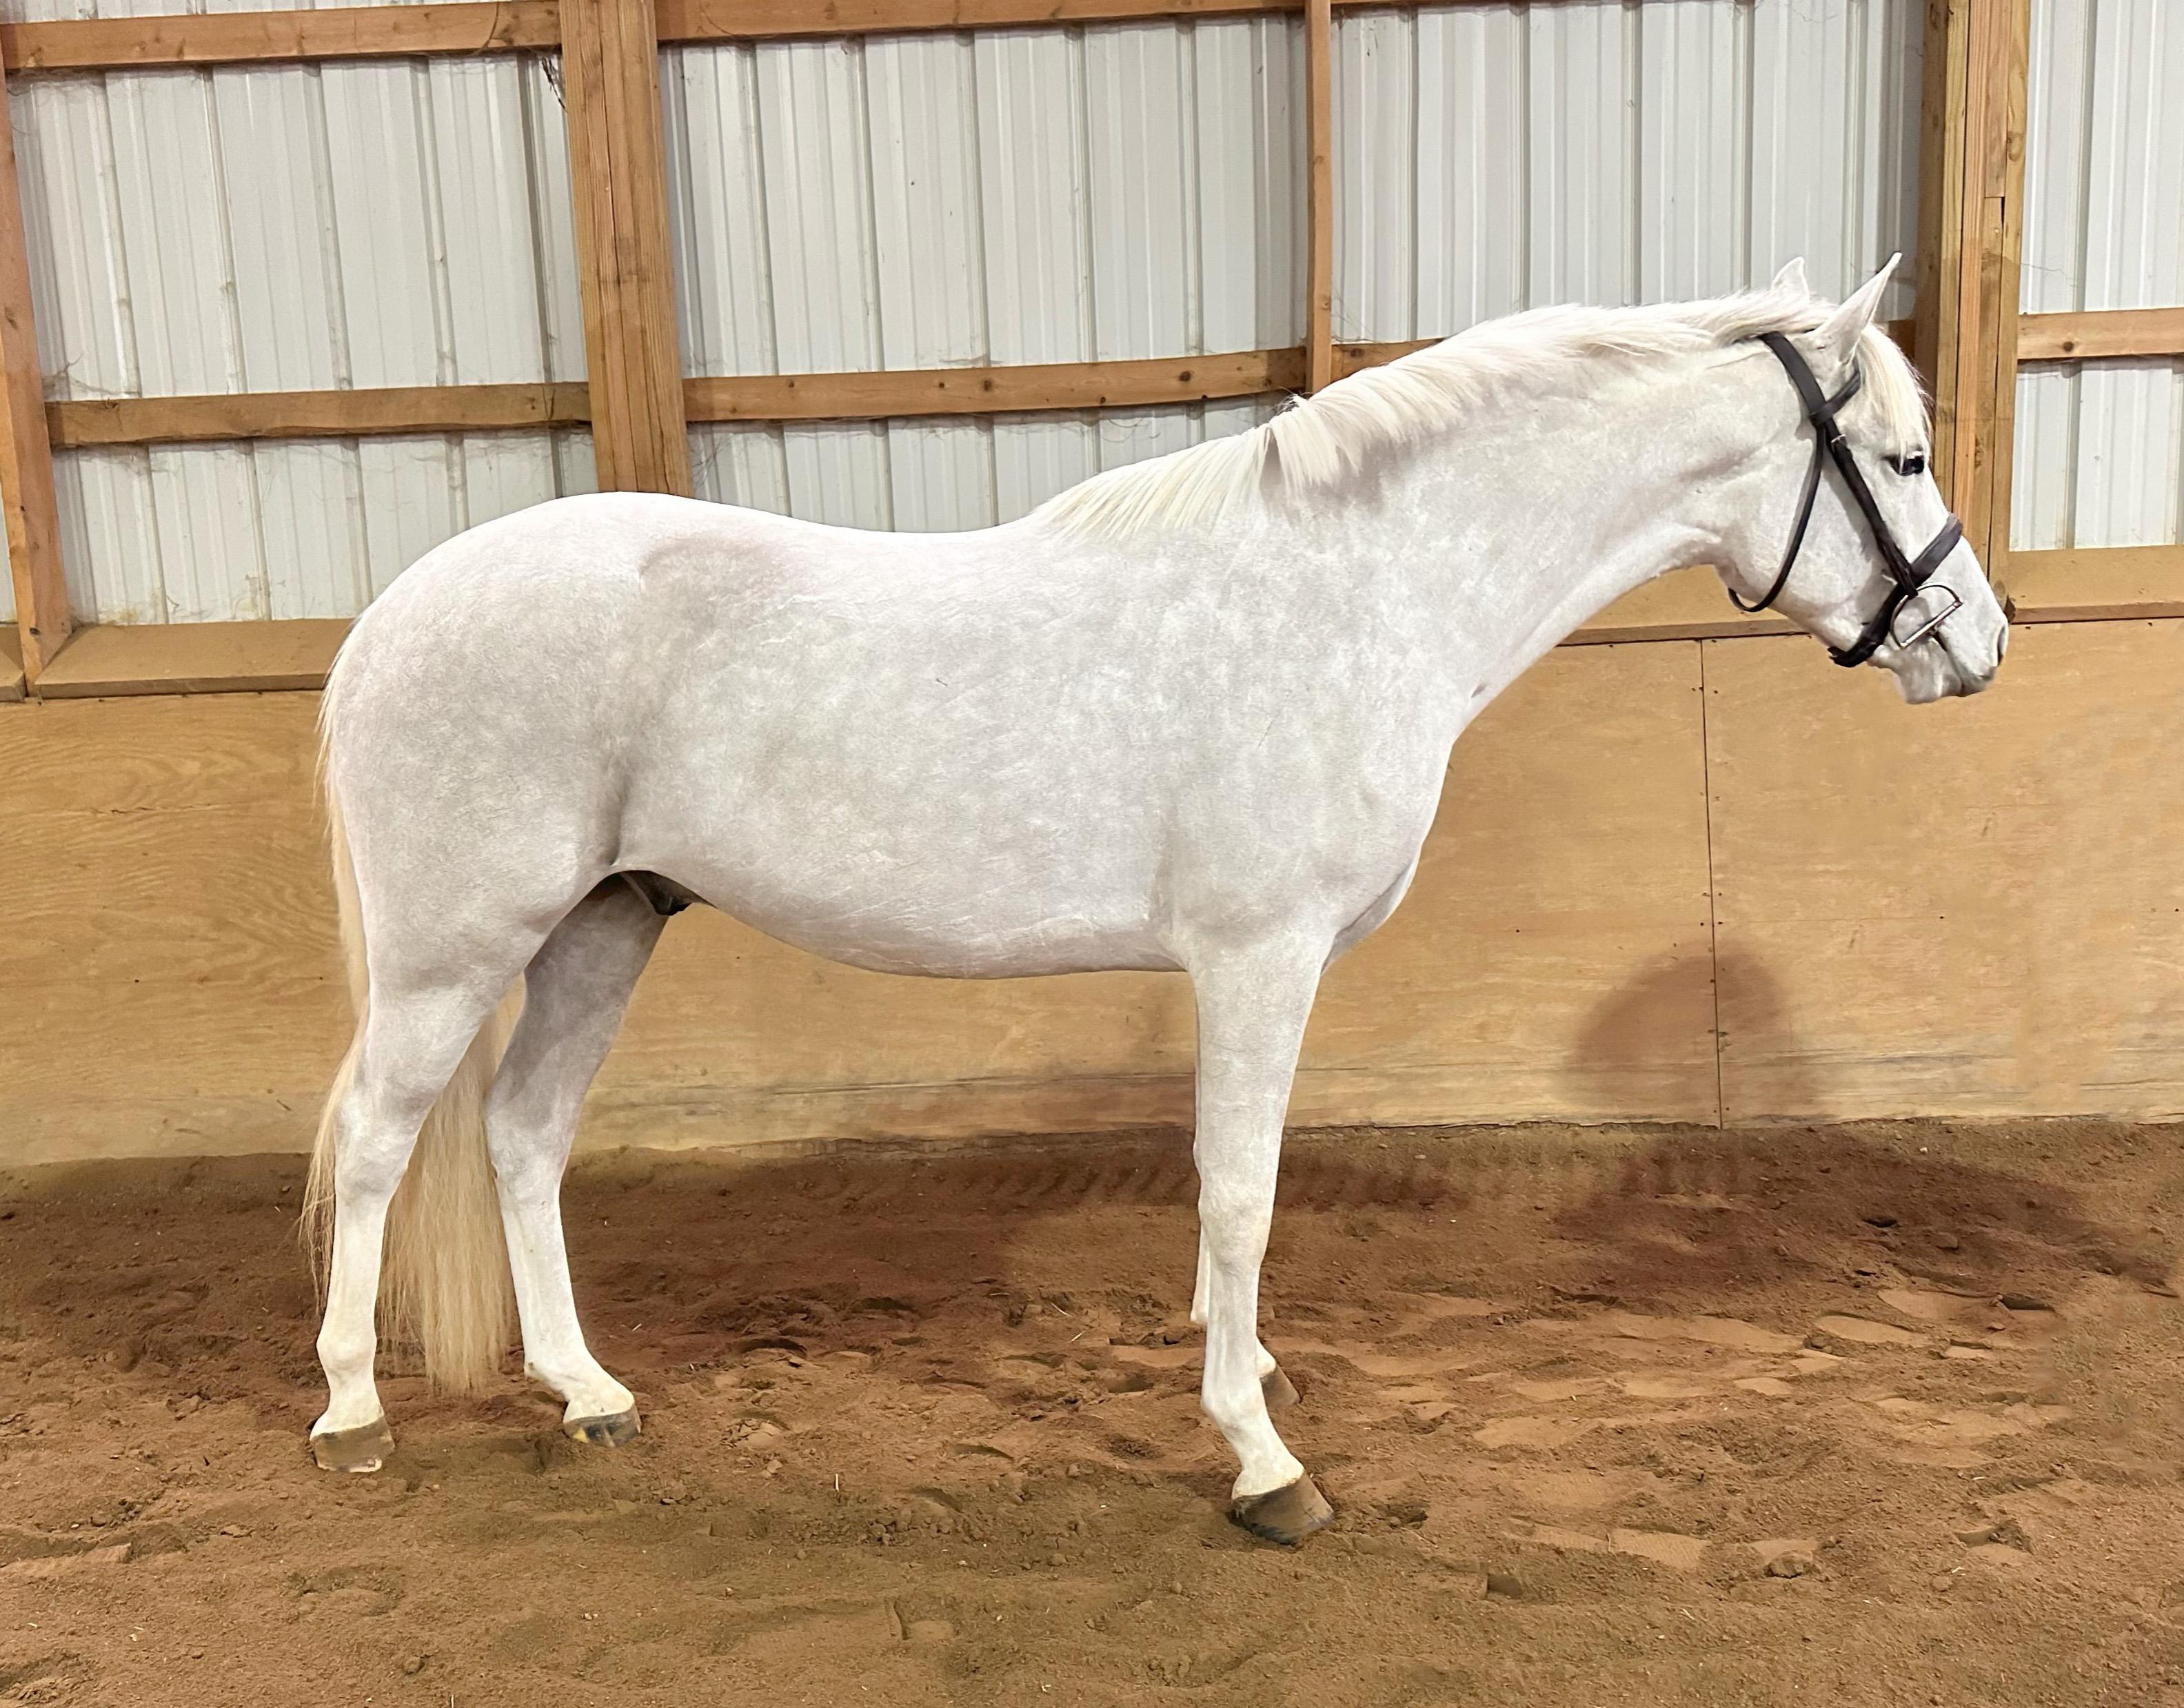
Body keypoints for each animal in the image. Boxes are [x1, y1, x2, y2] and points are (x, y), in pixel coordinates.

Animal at [302, 257, 2008, 1544]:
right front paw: (1262, 1462)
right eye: (1907, 459)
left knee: (523, 1134)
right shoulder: (1262, 957)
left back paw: (589, 1396)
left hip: (607, 923)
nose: (1978, 642)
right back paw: (352, 1412)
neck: (1355, 591)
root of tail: (391, 615)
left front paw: (1249, 1377)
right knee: (383, 1142)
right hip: (459, 947)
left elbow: (1226, 1202)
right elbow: (1241, 1190)